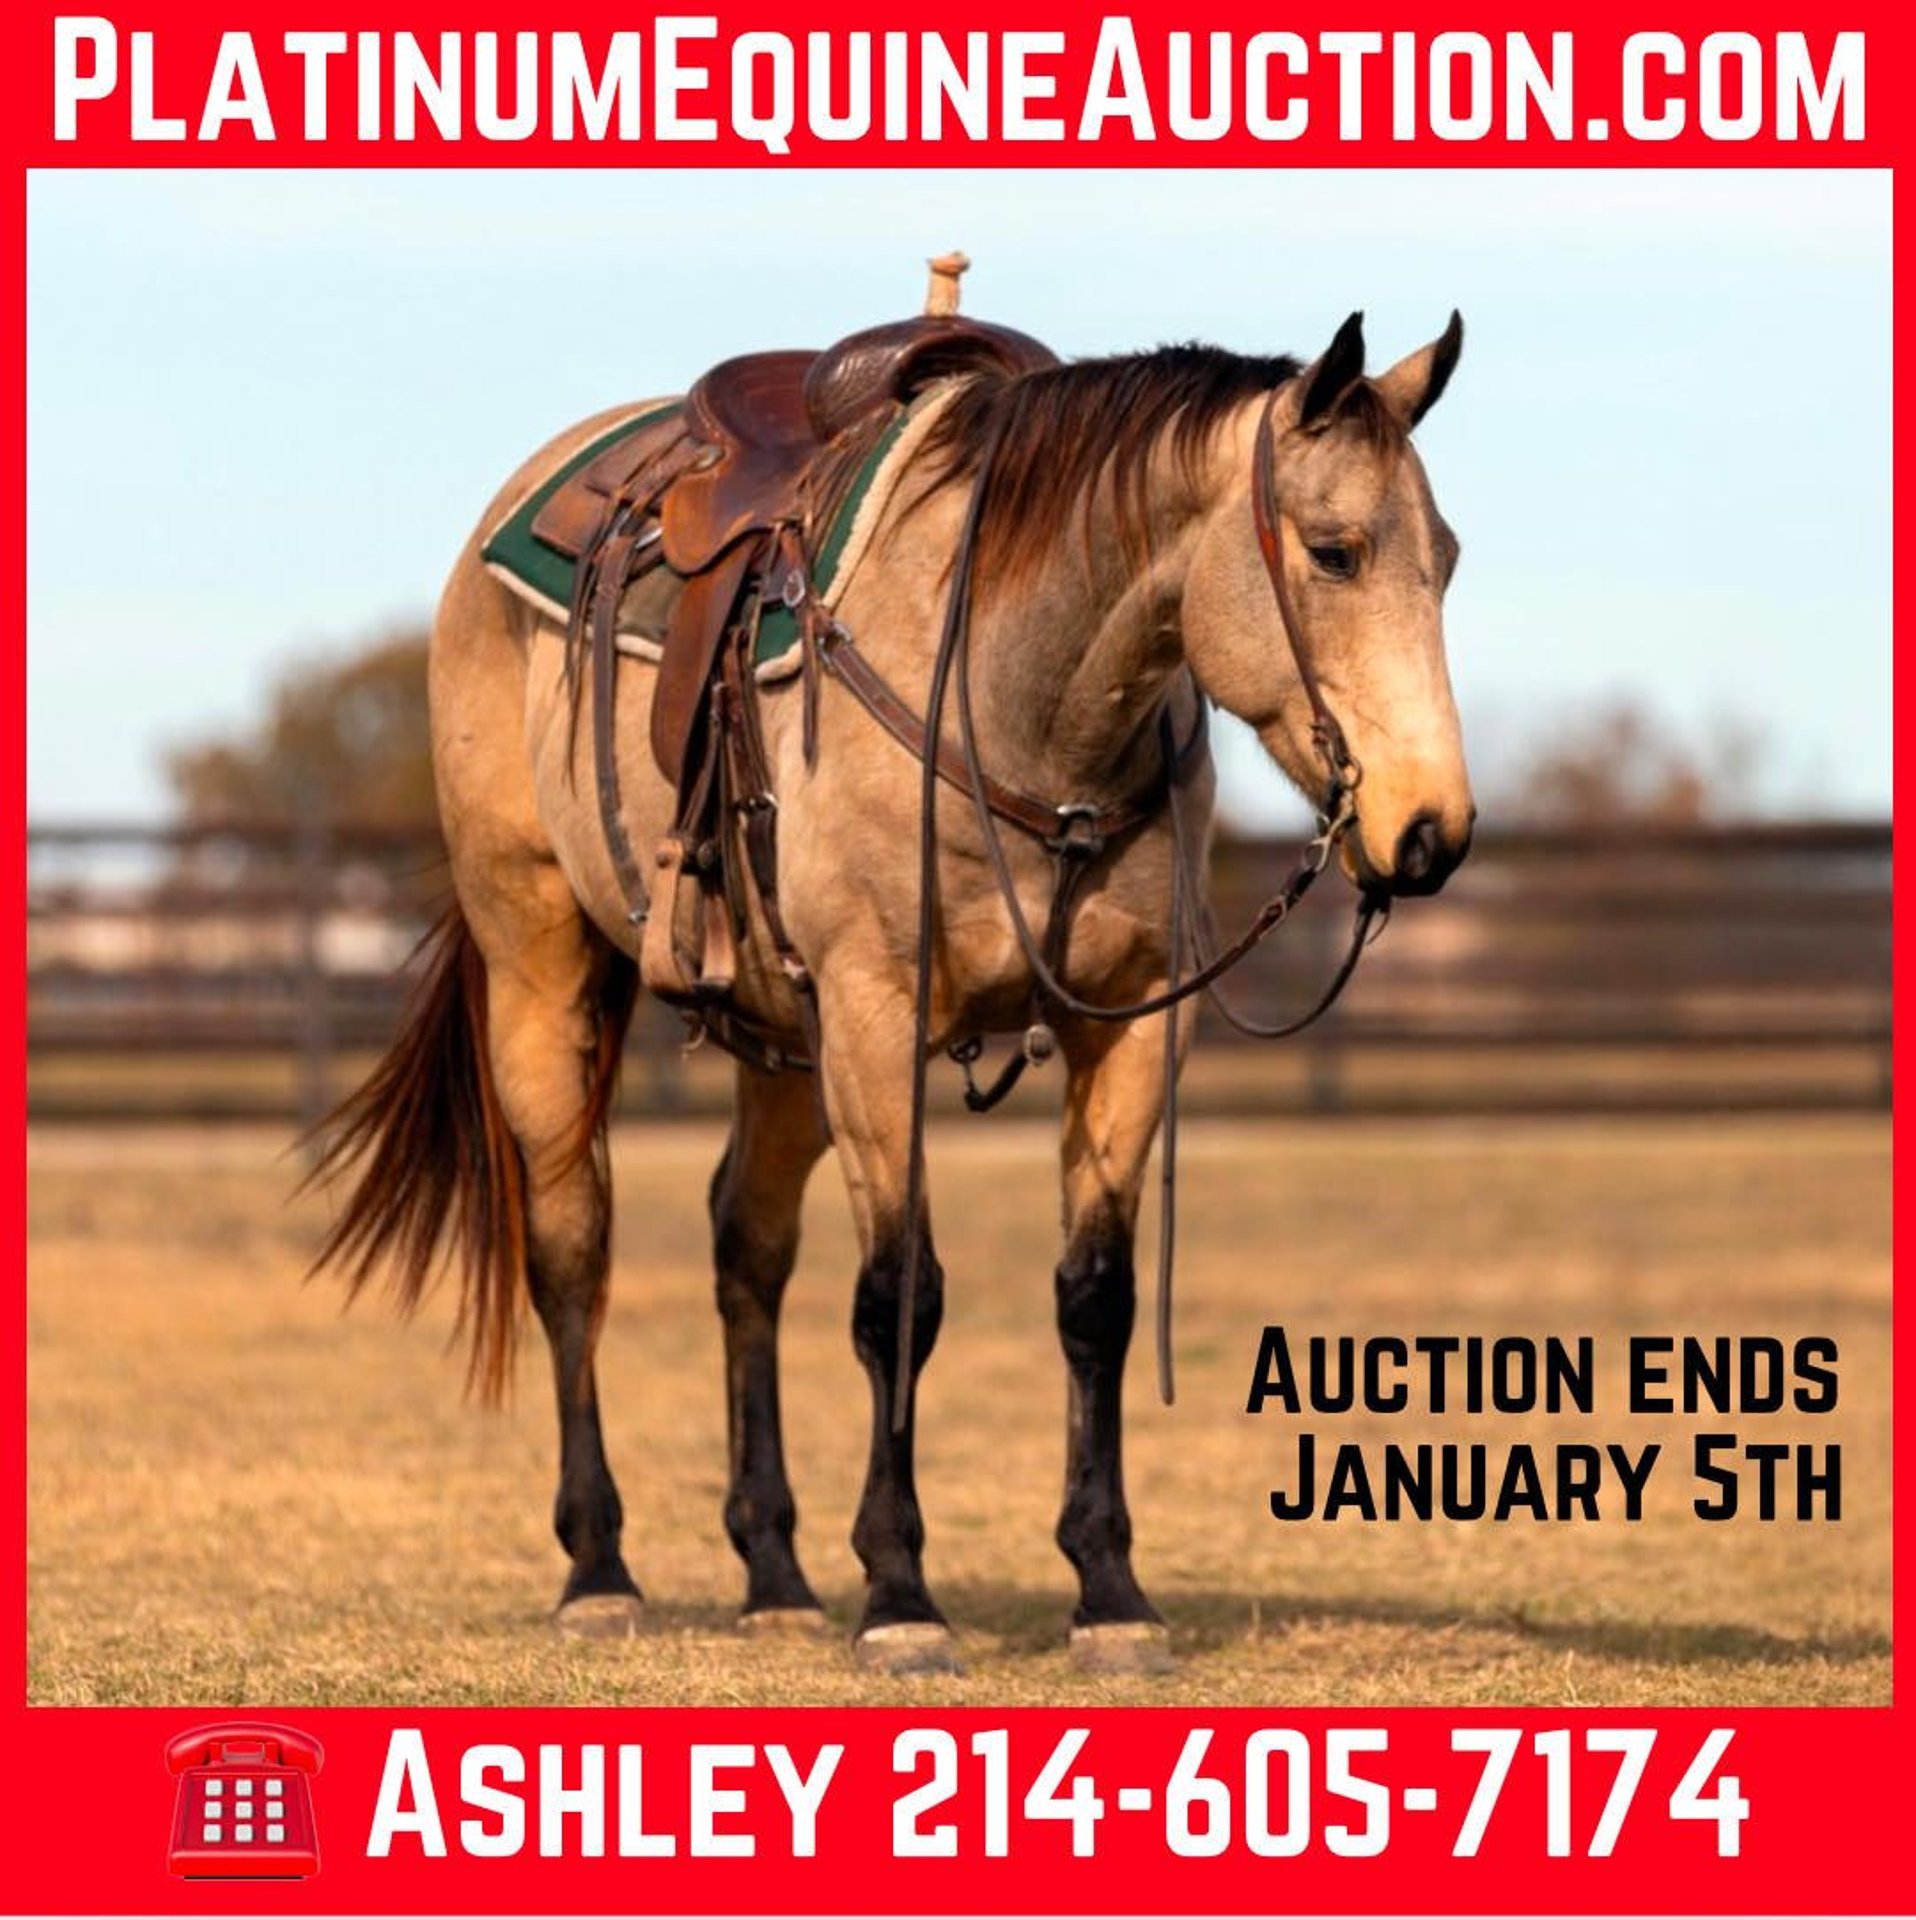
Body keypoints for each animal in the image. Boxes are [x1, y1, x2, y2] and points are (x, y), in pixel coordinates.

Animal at [311, 302, 1475, 1675]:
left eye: (1445, 559)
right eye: (1335, 552)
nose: (1430, 831)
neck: (1018, 698)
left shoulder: (1129, 1030)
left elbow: (1095, 1299)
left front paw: (1109, 1592)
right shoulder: (874, 1016)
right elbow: (895, 1301)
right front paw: (900, 1595)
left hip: (782, 1041)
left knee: (746, 1248)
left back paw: (771, 1570)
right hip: (541, 973)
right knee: (571, 1249)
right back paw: (598, 1568)